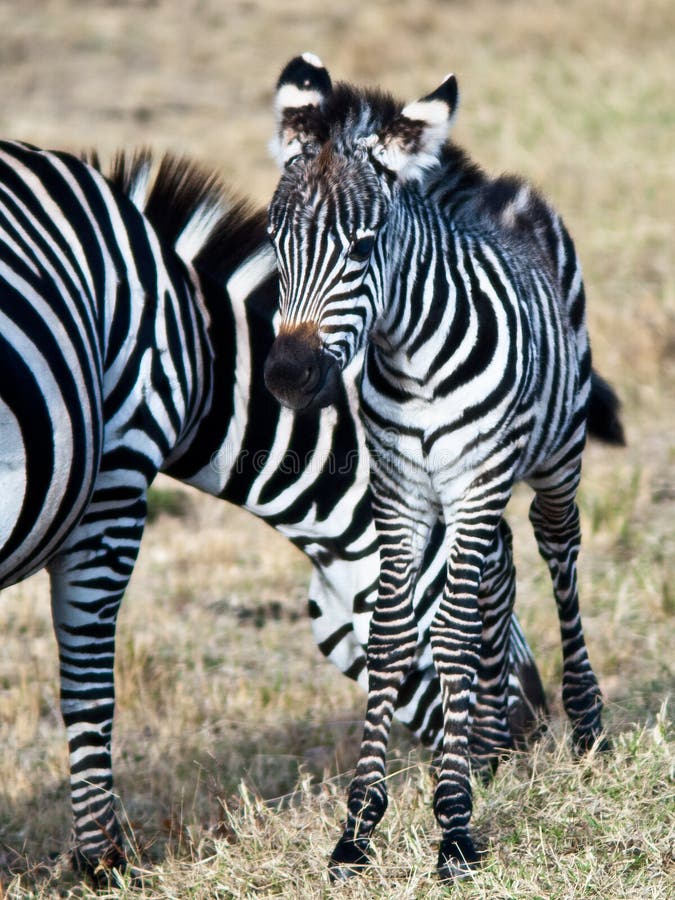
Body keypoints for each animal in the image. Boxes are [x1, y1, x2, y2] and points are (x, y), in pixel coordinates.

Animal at [0, 140, 547, 876]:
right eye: (494, 586)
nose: (537, 731)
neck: (197, 346)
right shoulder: (117, 476)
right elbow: (89, 681)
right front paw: (103, 859)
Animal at [263, 55, 625, 881]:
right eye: (272, 241)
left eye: (363, 245)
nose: (288, 377)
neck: (410, 356)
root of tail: (494, 191)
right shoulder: (401, 498)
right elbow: (394, 636)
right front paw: (359, 827)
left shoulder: (472, 485)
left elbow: (452, 633)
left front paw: (454, 824)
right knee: (499, 568)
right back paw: (488, 741)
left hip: (551, 460)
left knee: (557, 556)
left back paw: (585, 727)